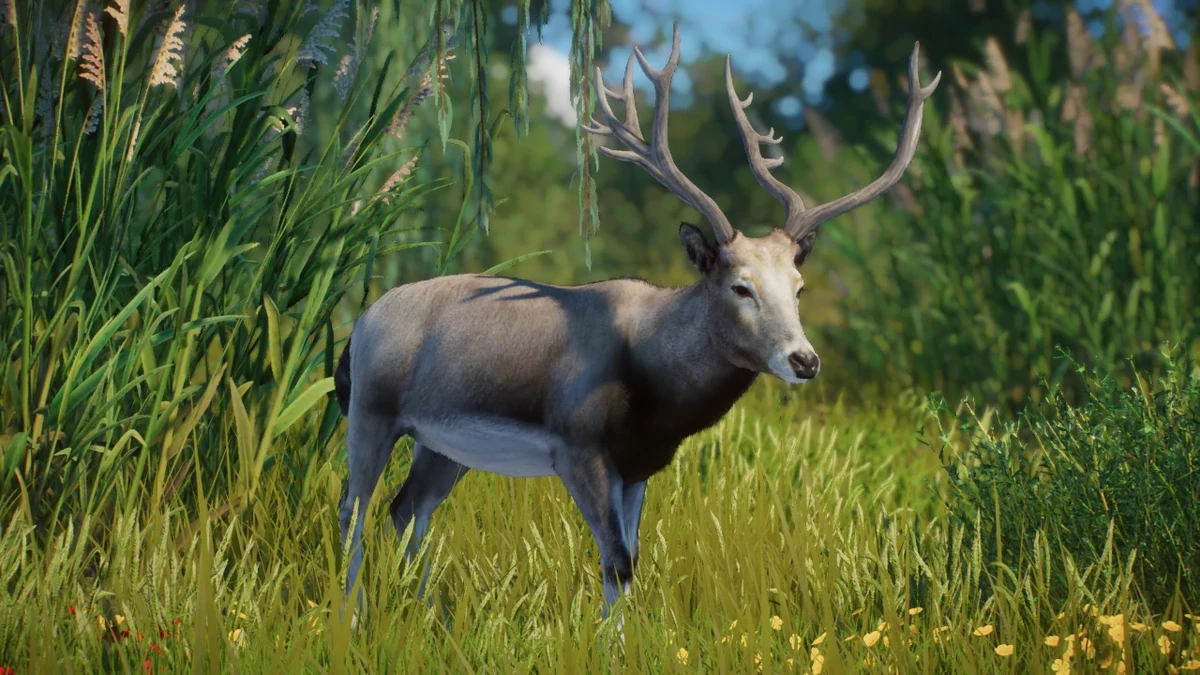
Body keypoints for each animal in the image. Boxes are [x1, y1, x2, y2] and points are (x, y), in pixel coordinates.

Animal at [334, 23, 940, 627]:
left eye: (799, 288)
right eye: (740, 287)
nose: (804, 360)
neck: (653, 384)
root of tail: (358, 327)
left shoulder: (639, 465)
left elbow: (631, 561)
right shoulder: (577, 447)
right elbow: (617, 561)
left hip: (442, 446)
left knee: (405, 509)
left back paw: (427, 616)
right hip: (371, 409)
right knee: (352, 509)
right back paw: (352, 618)